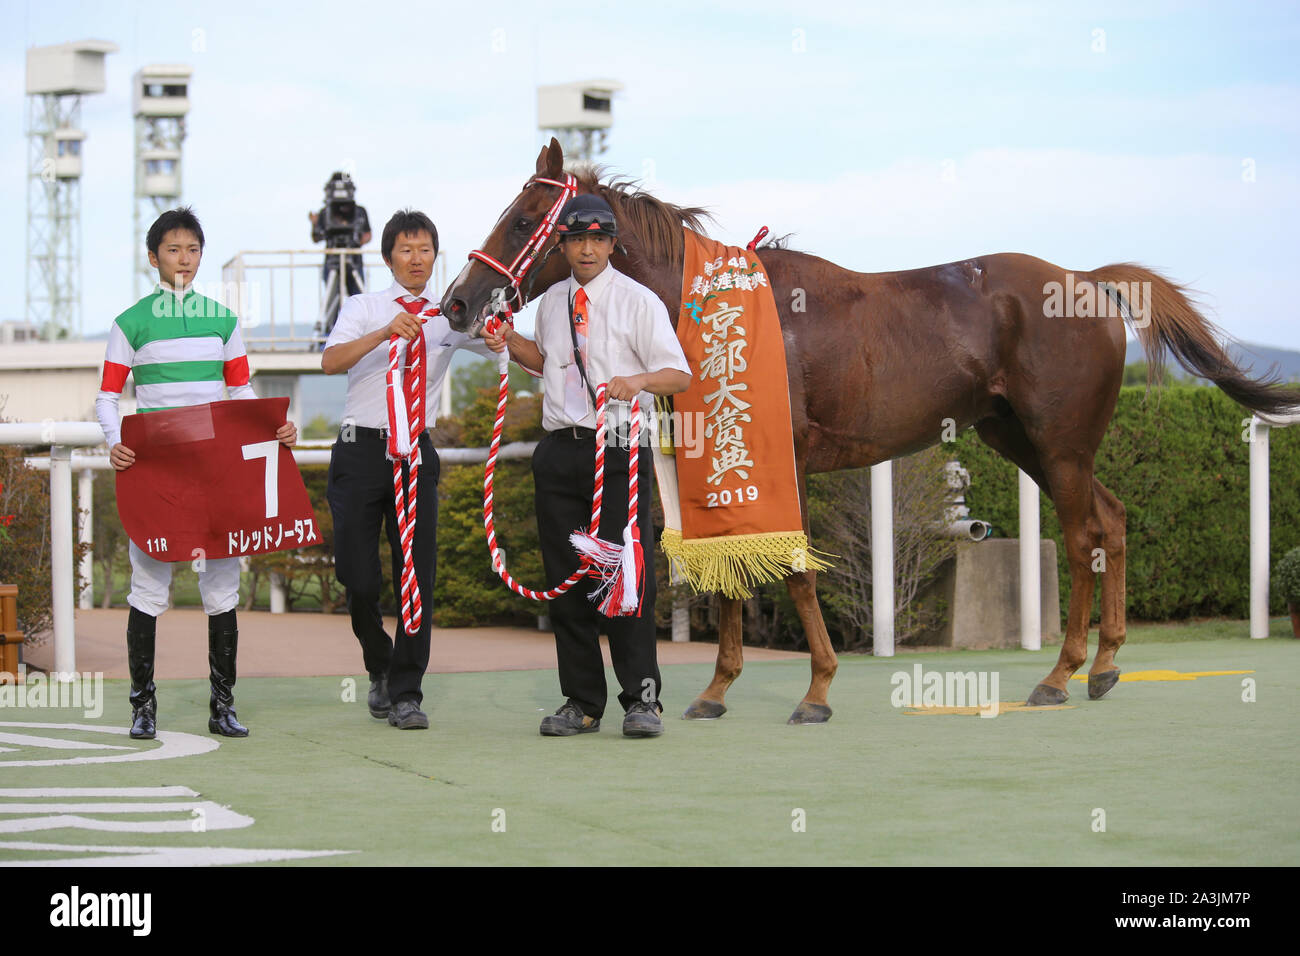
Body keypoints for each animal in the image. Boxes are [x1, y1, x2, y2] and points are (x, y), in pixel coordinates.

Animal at [440, 136, 1300, 724]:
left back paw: (1061, 673)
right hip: (1021, 440)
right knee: (1113, 522)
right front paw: (716, 690)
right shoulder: (723, 464)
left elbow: (794, 571)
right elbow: (732, 573)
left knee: (1087, 532)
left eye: (524, 218)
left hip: (1058, 444)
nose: (459, 302)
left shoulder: (778, 459)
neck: (716, 313)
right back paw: (1105, 667)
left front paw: (817, 690)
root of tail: (1086, 282)